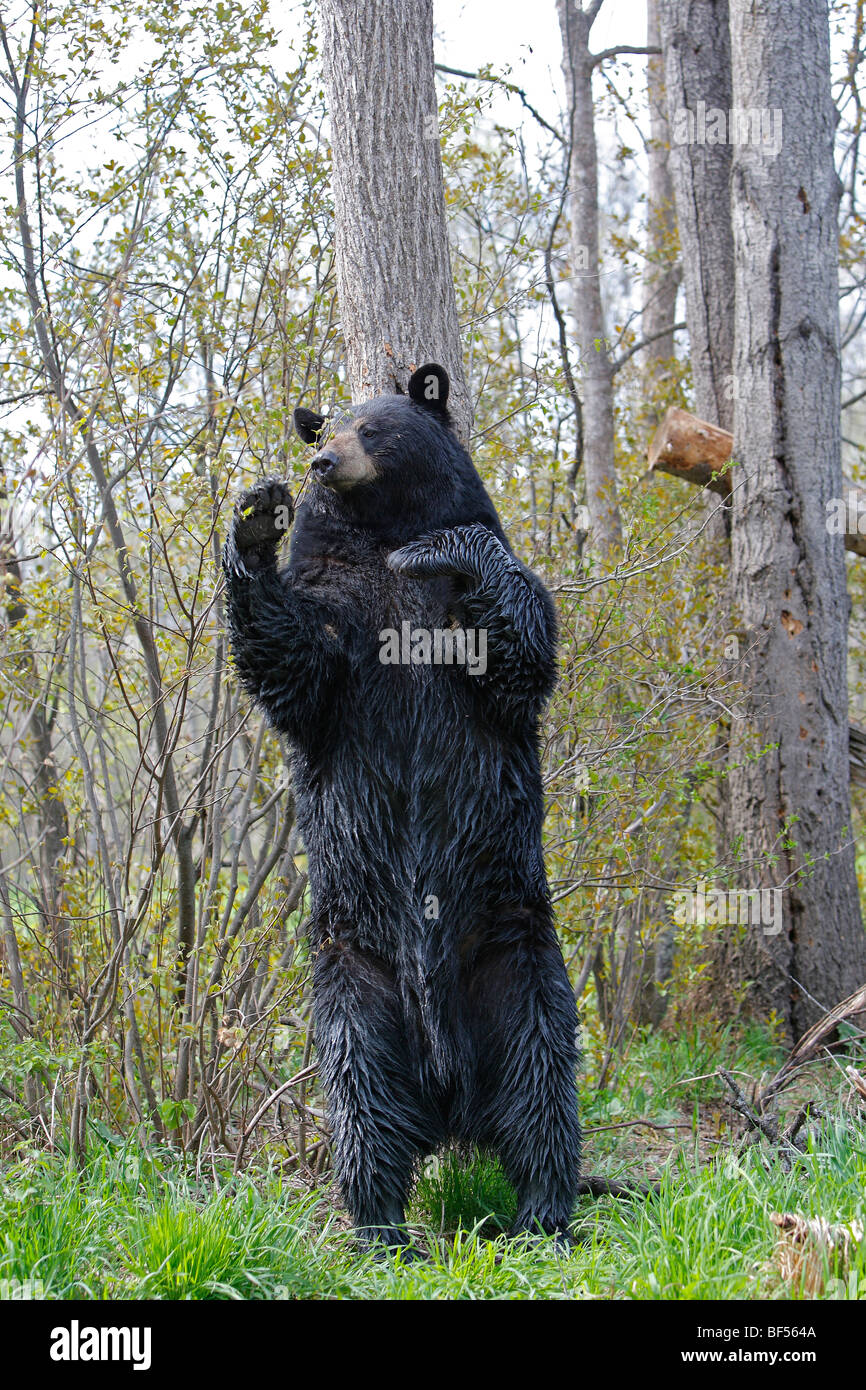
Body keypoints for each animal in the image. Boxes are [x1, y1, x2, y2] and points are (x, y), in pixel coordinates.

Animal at [222, 363, 581, 1250]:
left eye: (375, 429)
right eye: (325, 430)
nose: (322, 465)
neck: (379, 538)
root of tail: (450, 1099)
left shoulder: (464, 609)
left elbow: (520, 639)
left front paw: (436, 545)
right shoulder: (337, 612)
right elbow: (295, 660)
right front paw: (255, 521)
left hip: (515, 953)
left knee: (543, 1079)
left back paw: (544, 1211)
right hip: (355, 975)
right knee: (362, 1100)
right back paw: (380, 1224)